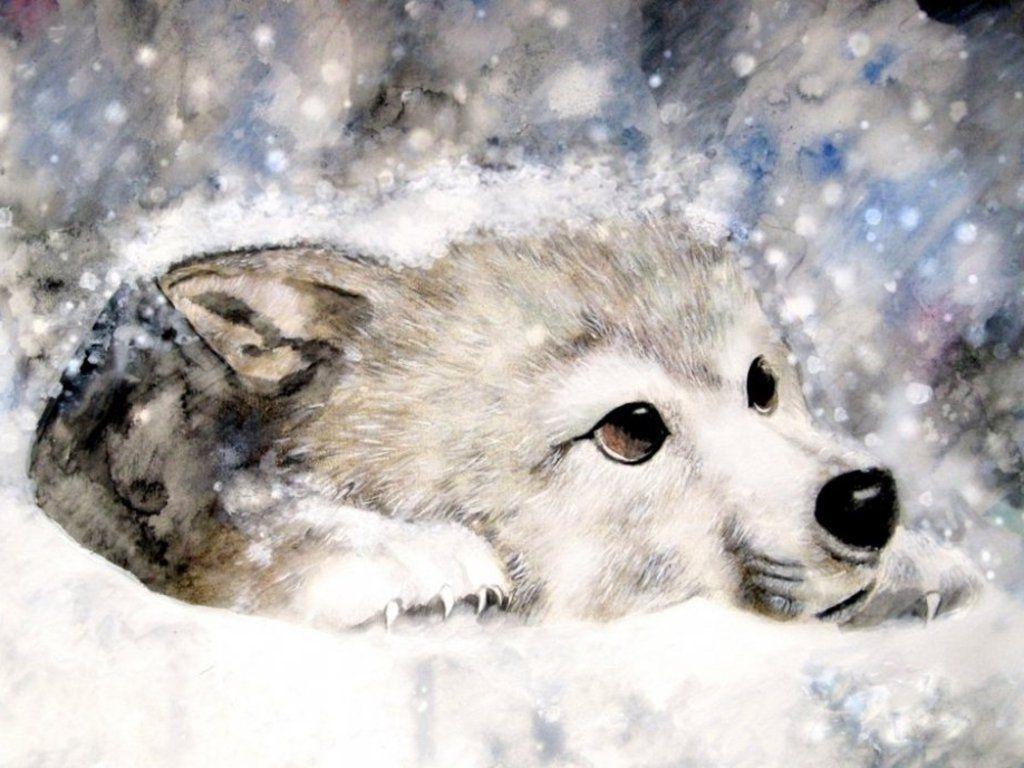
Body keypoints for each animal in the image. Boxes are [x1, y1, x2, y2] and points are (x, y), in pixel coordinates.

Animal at [30, 220, 980, 630]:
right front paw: (407, 552)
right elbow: (270, 534)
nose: (868, 501)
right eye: (631, 430)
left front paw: (920, 561)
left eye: (762, 385)